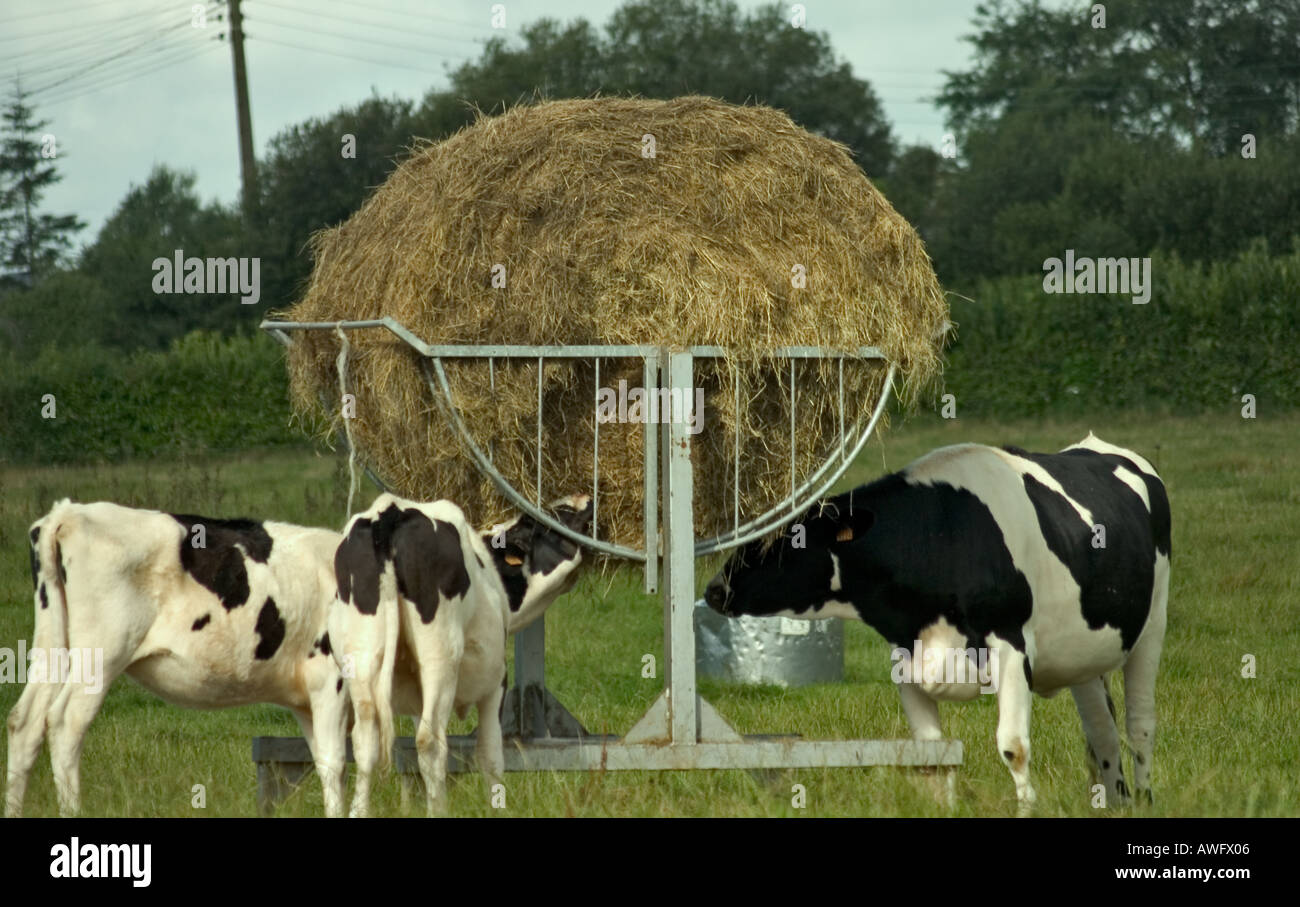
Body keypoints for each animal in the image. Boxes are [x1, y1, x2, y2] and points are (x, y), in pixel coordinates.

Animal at [6, 500, 349, 818]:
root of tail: (68, 512)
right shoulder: (330, 680)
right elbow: (335, 763)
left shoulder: (305, 700)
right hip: (101, 655)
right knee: (66, 722)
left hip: (52, 647)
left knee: (25, 721)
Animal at [329, 492, 592, 817]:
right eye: (541, 521)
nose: (583, 497)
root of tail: (389, 512)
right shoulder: (497, 681)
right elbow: (490, 755)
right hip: (439, 659)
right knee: (430, 741)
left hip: (361, 660)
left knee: (366, 742)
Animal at [704, 434, 1170, 814]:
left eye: (786, 541)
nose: (713, 590)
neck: (941, 536)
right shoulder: (907, 660)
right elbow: (932, 755)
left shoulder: (1011, 647)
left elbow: (1013, 747)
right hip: (1085, 654)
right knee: (1102, 731)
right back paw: (1114, 802)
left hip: (1153, 624)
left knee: (1139, 726)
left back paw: (1144, 798)